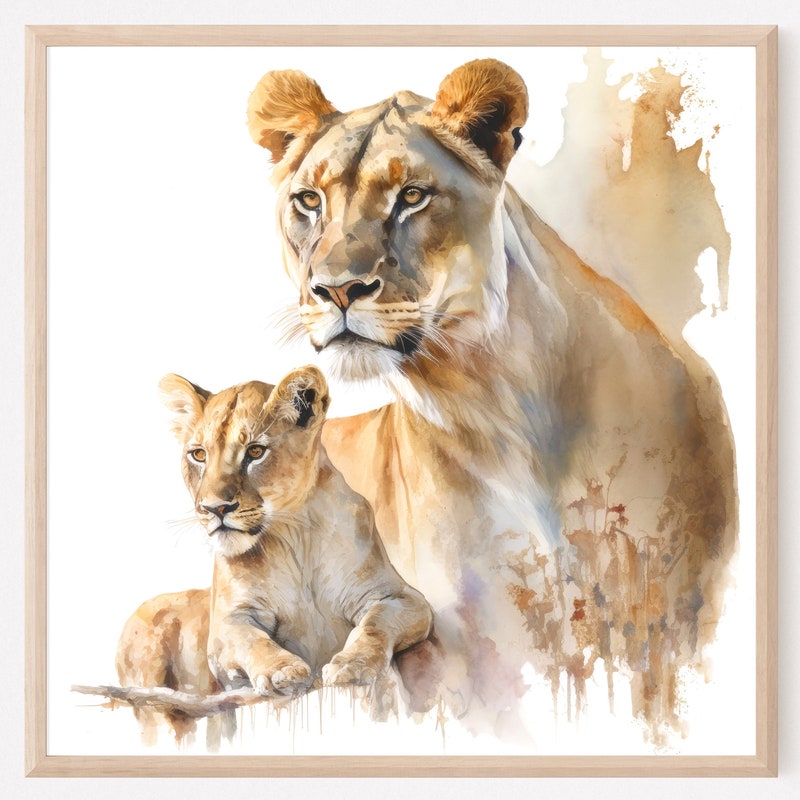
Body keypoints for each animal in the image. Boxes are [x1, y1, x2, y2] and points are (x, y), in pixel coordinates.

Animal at [116, 365, 432, 744]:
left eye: (255, 452)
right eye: (199, 455)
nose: (215, 508)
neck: (293, 539)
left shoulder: (402, 598)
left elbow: (374, 624)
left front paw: (352, 665)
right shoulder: (228, 624)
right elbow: (252, 640)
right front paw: (282, 672)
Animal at [246, 60, 738, 736]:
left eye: (412, 196)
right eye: (309, 200)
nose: (338, 290)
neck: (495, 408)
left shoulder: (669, 613)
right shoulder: (465, 644)